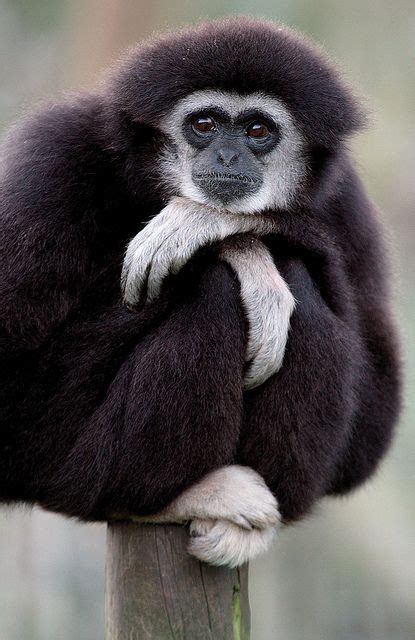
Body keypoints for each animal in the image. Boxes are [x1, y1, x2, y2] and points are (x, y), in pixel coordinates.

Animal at [0, 17, 401, 568]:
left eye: (258, 130)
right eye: (205, 124)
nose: (227, 155)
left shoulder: (346, 196)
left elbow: (372, 425)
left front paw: (208, 222)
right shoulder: (53, 160)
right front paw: (242, 252)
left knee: (297, 278)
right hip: (60, 462)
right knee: (209, 286)